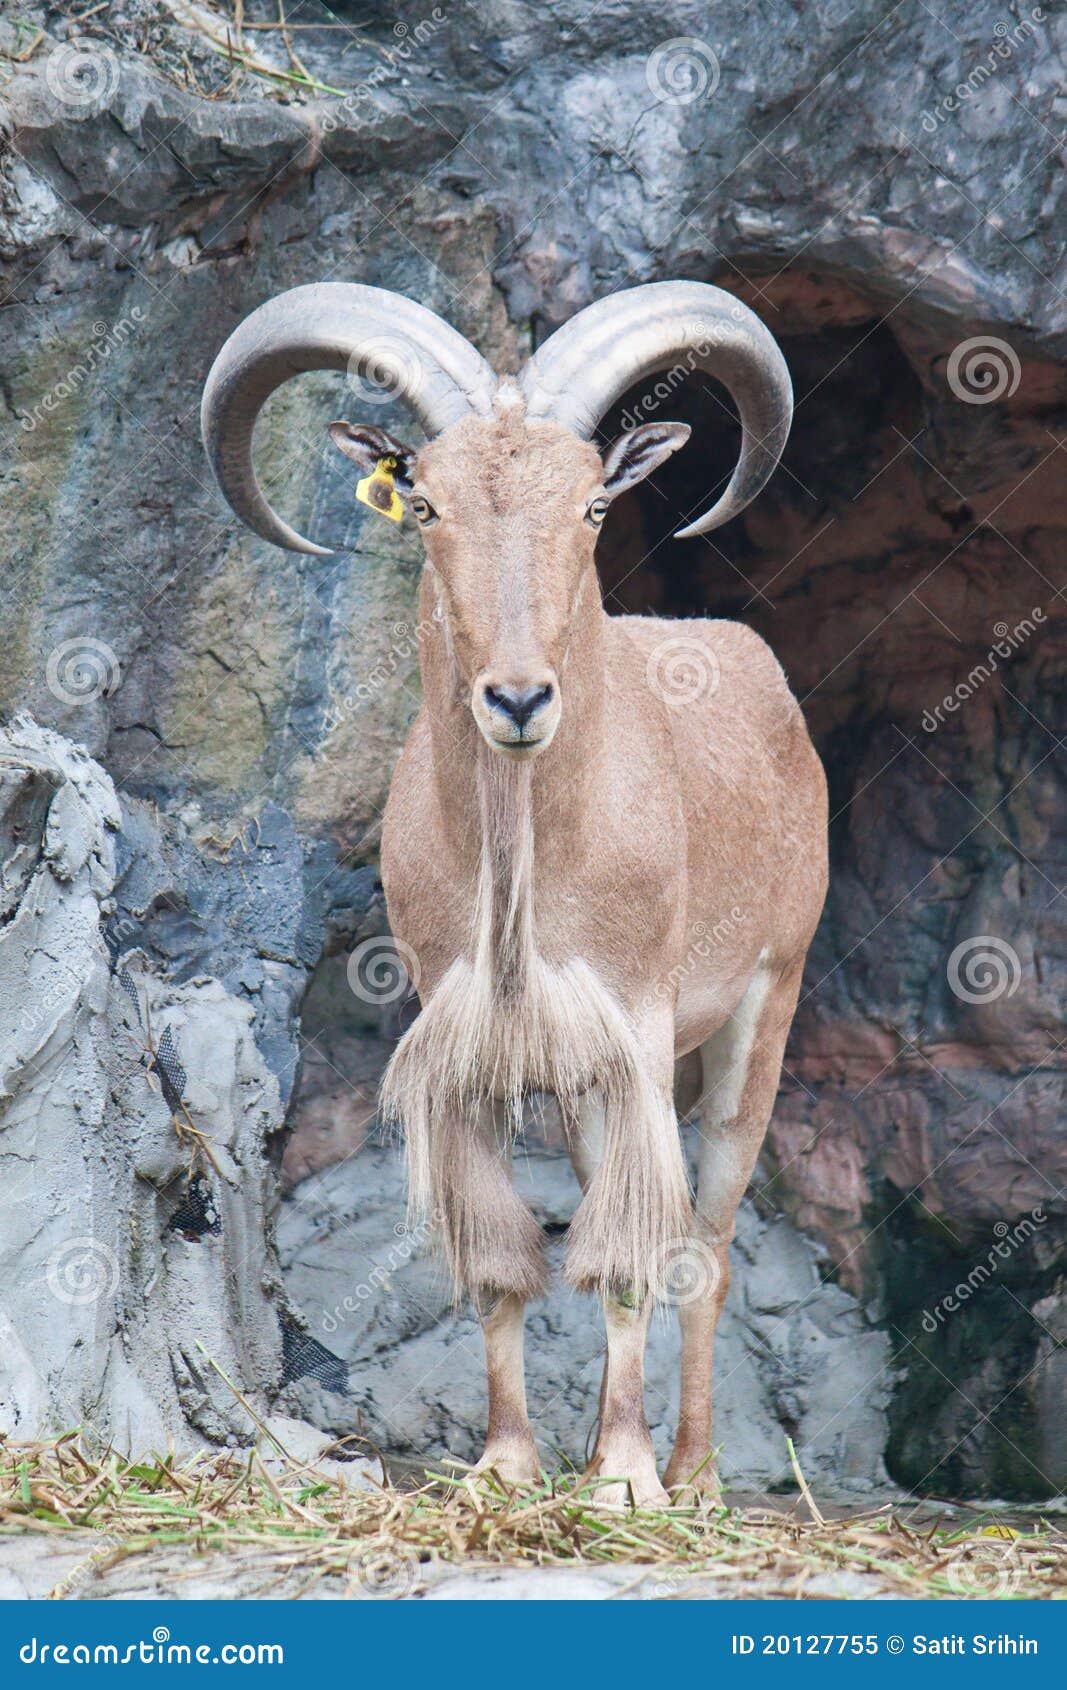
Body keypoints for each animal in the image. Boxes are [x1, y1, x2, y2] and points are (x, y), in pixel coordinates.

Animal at [202, 281, 828, 1505]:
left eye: (591, 505)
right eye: (425, 504)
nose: (520, 697)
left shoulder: (630, 1033)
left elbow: (629, 1259)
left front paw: (625, 1480)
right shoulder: (465, 1043)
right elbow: (503, 1262)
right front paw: (507, 1465)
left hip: (758, 1014)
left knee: (706, 1243)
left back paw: (694, 1474)